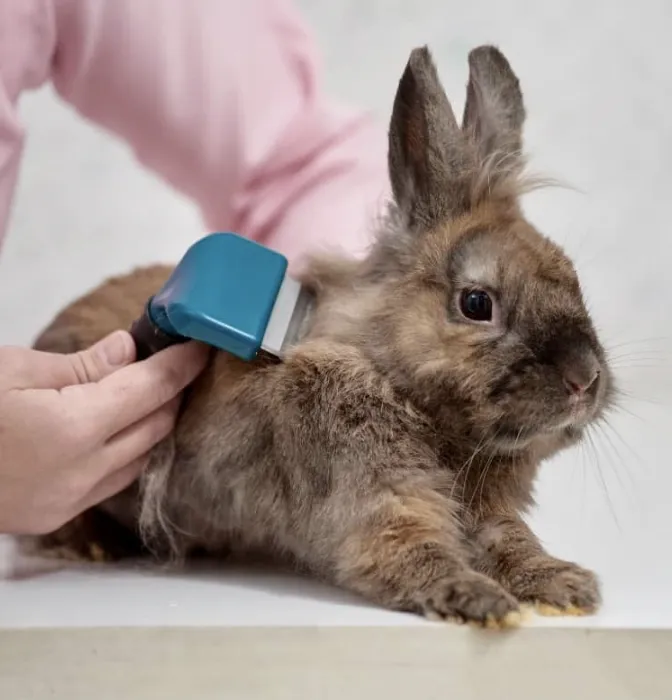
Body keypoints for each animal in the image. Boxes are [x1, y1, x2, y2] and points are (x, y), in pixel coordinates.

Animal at [26, 45, 614, 627]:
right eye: (476, 303)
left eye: (572, 277)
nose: (585, 379)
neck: (395, 383)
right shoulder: (378, 505)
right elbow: (415, 553)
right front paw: (478, 600)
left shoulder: (486, 512)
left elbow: (510, 543)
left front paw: (564, 586)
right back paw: (90, 545)